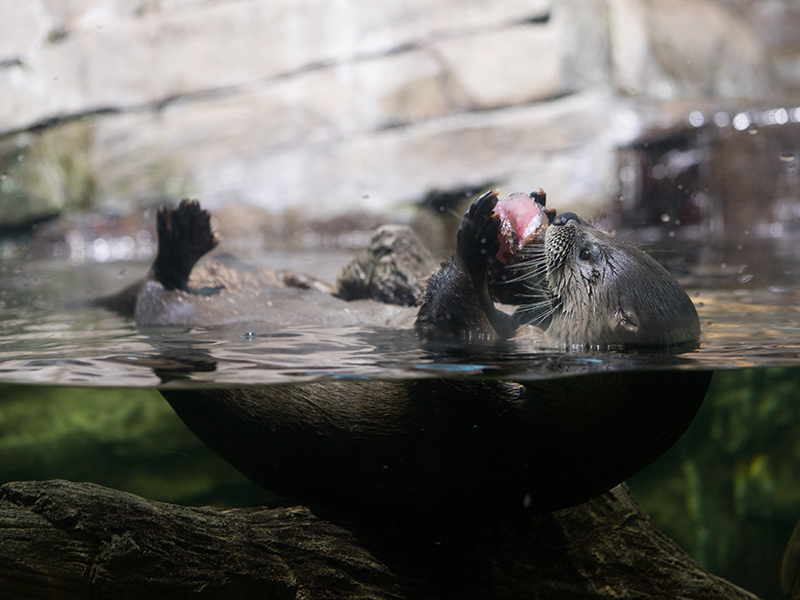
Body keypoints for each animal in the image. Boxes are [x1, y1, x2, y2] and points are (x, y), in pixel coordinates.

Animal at [101, 191, 710, 526]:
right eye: (598, 233)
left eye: (587, 253)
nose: (570, 218)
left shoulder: (487, 409)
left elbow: (443, 320)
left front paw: (476, 242)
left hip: (165, 315)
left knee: (159, 291)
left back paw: (180, 238)